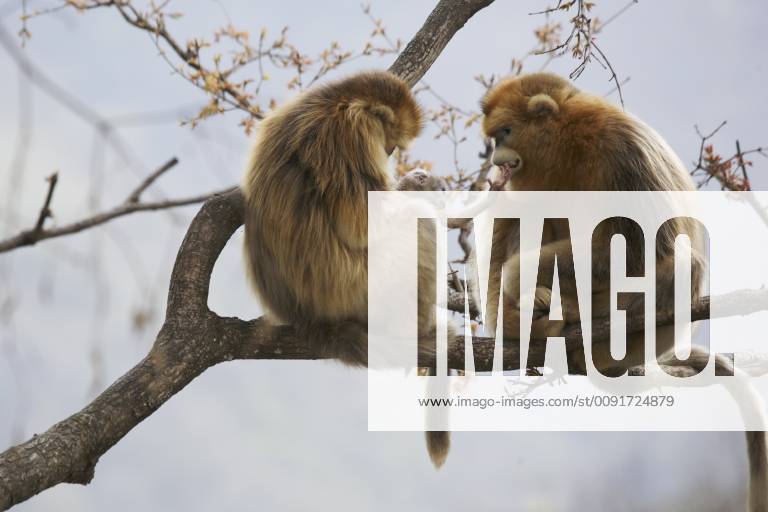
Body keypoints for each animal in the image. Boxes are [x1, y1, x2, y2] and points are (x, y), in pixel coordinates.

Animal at [241, 70, 450, 469]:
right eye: (390, 143)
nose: (391, 152)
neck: (332, 100)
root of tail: (311, 321)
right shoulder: (353, 132)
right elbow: (362, 225)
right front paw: (421, 186)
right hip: (361, 291)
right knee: (417, 219)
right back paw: (423, 328)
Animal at [480, 72, 767, 511]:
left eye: (505, 132)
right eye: (494, 138)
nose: (497, 160)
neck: (569, 143)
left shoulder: (623, 151)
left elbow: (638, 248)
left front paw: (519, 279)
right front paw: (508, 318)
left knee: (684, 264)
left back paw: (574, 312)